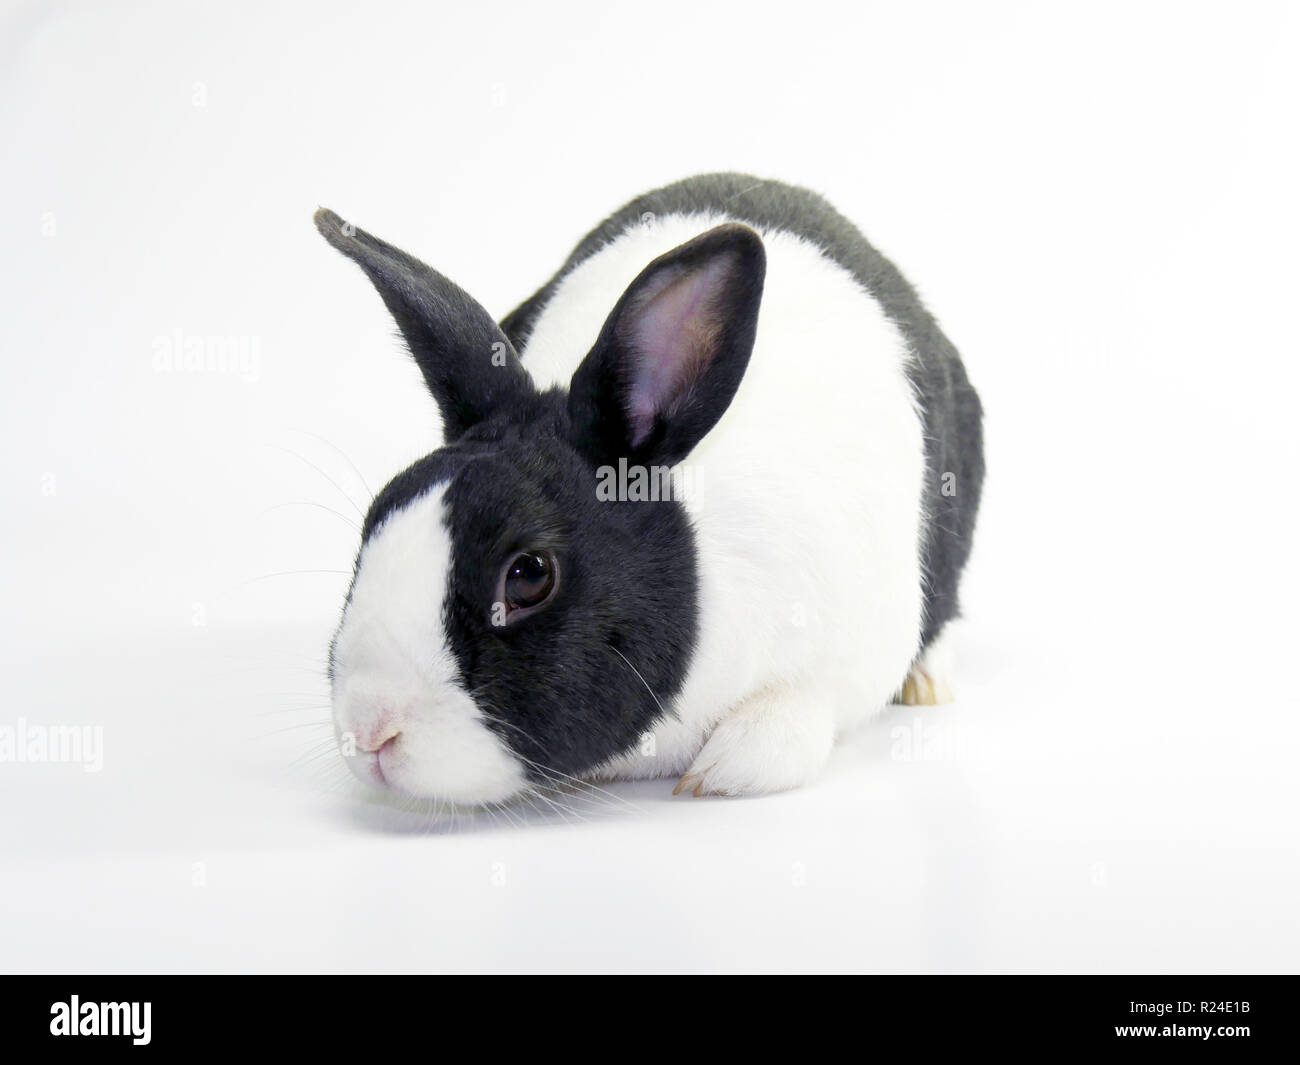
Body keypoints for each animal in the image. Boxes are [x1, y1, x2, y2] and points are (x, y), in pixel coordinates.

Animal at [317, 170, 982, 806]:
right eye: (373, 524)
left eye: (529, 575)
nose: (372, 730)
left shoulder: (841, 659)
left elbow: (781, 734)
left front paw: (716, 774)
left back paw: (928, 685)